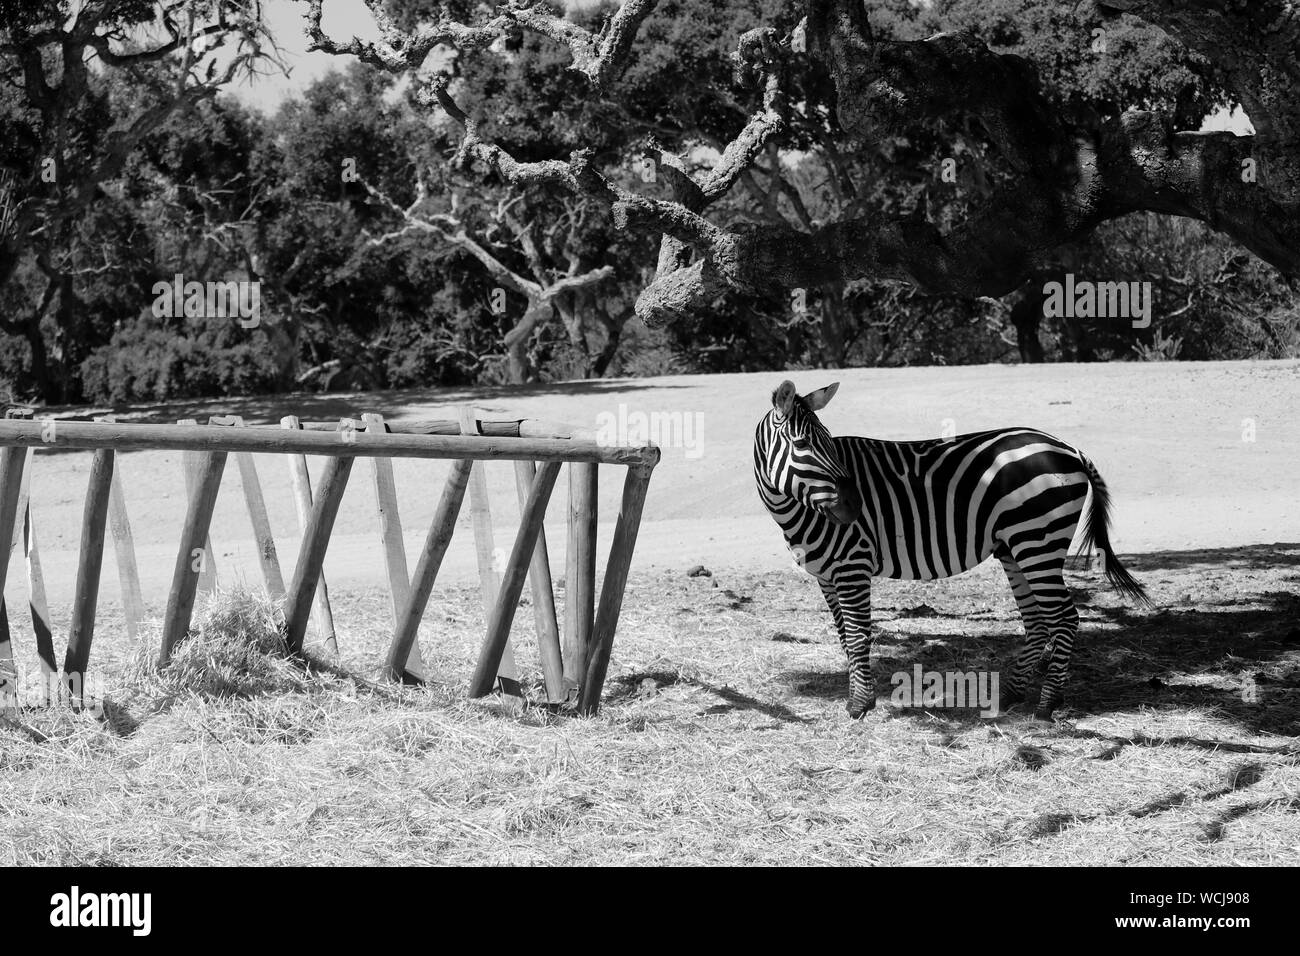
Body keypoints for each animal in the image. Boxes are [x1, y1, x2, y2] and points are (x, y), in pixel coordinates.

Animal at [754, 380, 1150, 719]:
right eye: (803, 445)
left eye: (830, 444)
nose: (854, 507)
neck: (795, 510)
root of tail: (1068, 448)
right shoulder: (826, 574)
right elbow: (844, 637)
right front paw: (861, 697)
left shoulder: (853, 564)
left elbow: (857, 636)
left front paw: (859, 705)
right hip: (1015, 547)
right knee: (1038, 622)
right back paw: (1009, 695)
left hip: (1037, 541)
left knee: (1064, 618)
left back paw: (1047, 705)